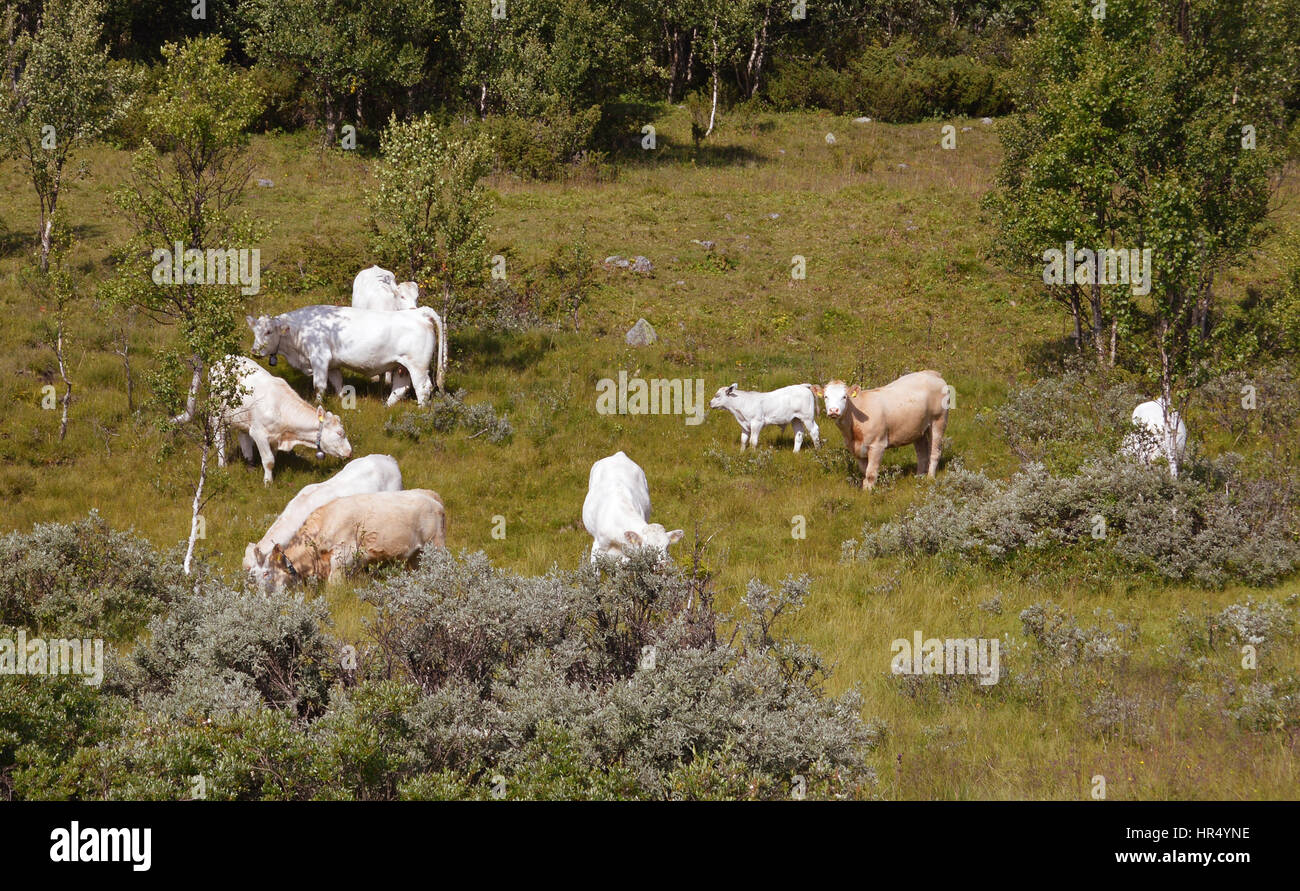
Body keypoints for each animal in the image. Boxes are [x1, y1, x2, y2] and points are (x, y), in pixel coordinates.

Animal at [207, 356, 352, 484]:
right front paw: (268, 482)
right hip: (217, 414)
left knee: (243, 437)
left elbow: (273, 457)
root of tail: (222, 360)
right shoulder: (259, 433)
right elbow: (269, 460)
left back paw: (250, 463)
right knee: (220, 439)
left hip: (242, 418)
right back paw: (222, 465)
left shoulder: (276, 437)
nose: (350, 452)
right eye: (340, 433)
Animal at [246, 305, 446, 406]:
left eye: (269, 331)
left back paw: (420, 410)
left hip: (418, 366)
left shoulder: (320, 359)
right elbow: (337, 383)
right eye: (255, 331)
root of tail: (418, 312)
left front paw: (318, 404)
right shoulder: (333, 364)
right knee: (400, 388)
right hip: (401, 365)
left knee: (423, 388)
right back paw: (387, 407)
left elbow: (319, 385)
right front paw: (343, 399)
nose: (254, 350)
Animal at [812, 370, 949, 491]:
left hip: (939, 420)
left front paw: (869, 492)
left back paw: (930, 478)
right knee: (922, 454)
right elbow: (865, 471)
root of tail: (932, 373)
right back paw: (919, 476)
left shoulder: (877, 445)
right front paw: (865, 489)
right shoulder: (855, 448)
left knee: (935, 452)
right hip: (917, 429)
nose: (833, 410)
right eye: (826, 397)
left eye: (844, 397)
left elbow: (871, 473)